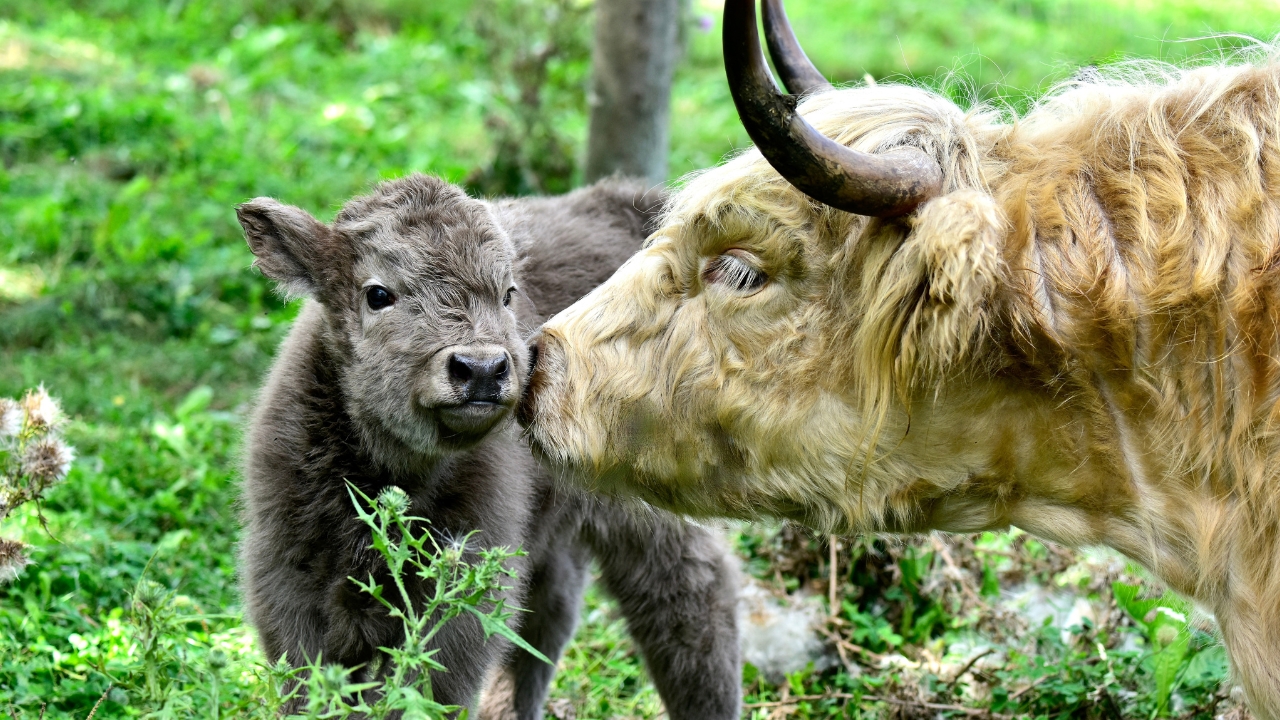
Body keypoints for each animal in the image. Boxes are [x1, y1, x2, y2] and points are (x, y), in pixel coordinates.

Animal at [236, 174, 741, 719]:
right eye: (378, 293)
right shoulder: (288, 575)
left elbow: (428, 686)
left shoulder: (468, 580)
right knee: (546, 622)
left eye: (508, 293)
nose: (481, 369)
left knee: (691, 599)